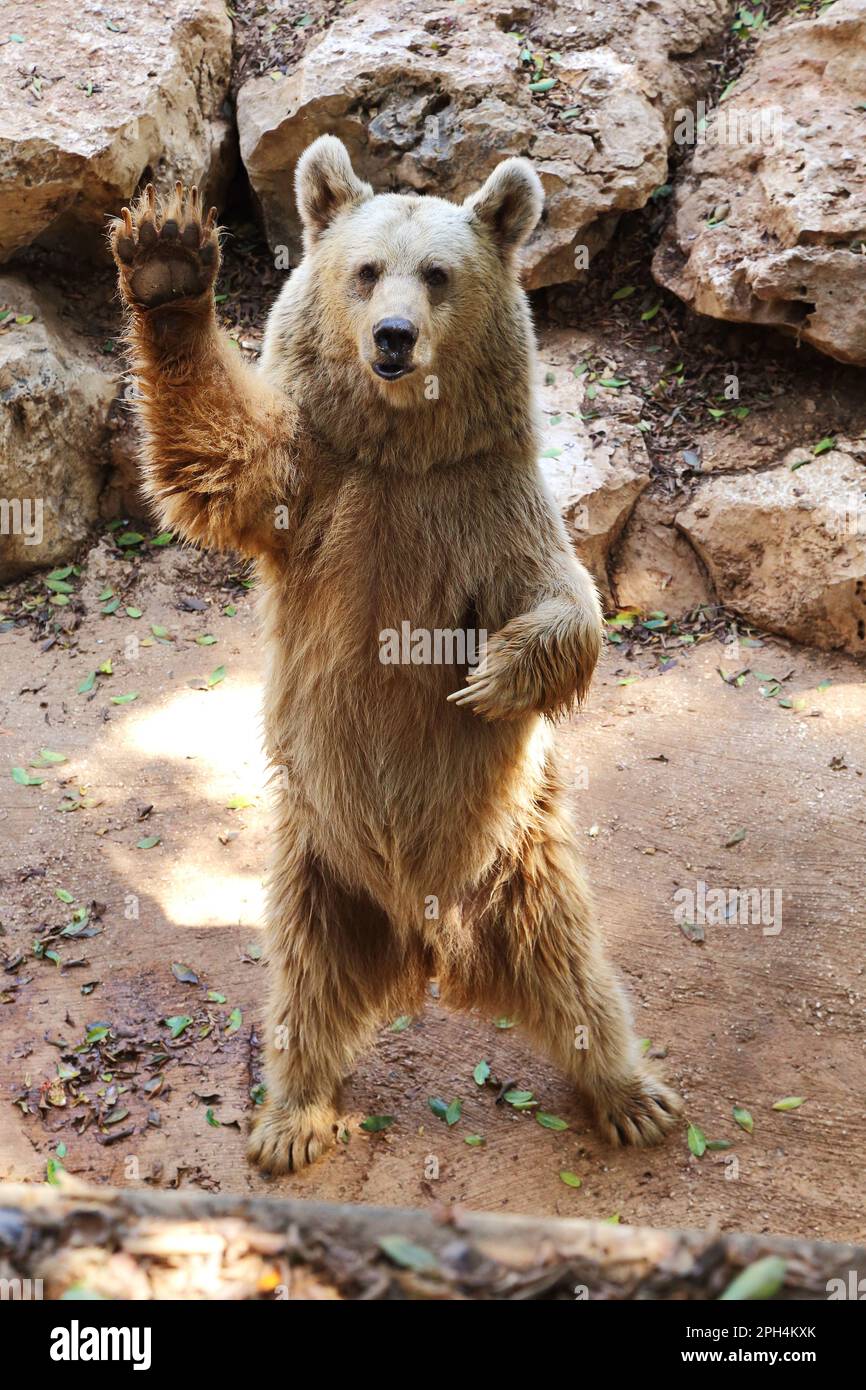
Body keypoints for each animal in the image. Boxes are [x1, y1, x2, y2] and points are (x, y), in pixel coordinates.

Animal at [109, 137, 682, 1173]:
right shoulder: (315, 483)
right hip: (316, 863)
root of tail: (430, 949)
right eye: (368, 269)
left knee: (578, 976)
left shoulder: (486, 506)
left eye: (440, 275)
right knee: (304, 990)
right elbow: (217, 454)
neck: (402, 451)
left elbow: (566, 604)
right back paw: (291, 1116)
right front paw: (169, 258)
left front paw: (490, 677)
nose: (392, 338)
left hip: (520, 859)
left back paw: (631, 1096)